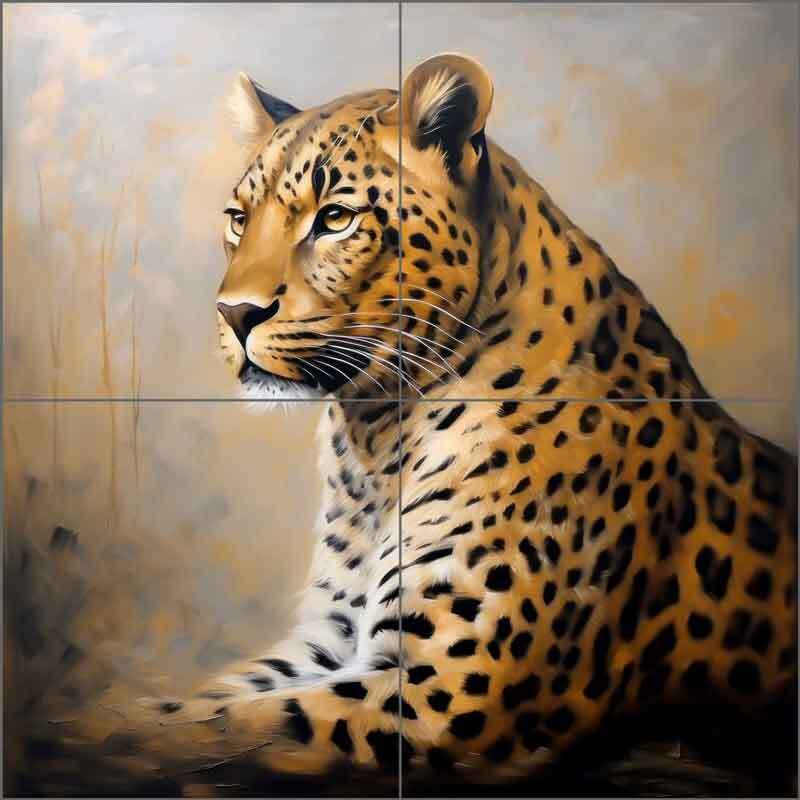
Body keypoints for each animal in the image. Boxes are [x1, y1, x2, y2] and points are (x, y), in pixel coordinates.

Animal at [26, 53, 797, 795]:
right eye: (239, 219)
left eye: (335, 219)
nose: (235, 314)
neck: (376, 437)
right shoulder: (328, 638)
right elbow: (208, 701)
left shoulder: (448, 692)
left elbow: (228, 727)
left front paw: (79, 738)